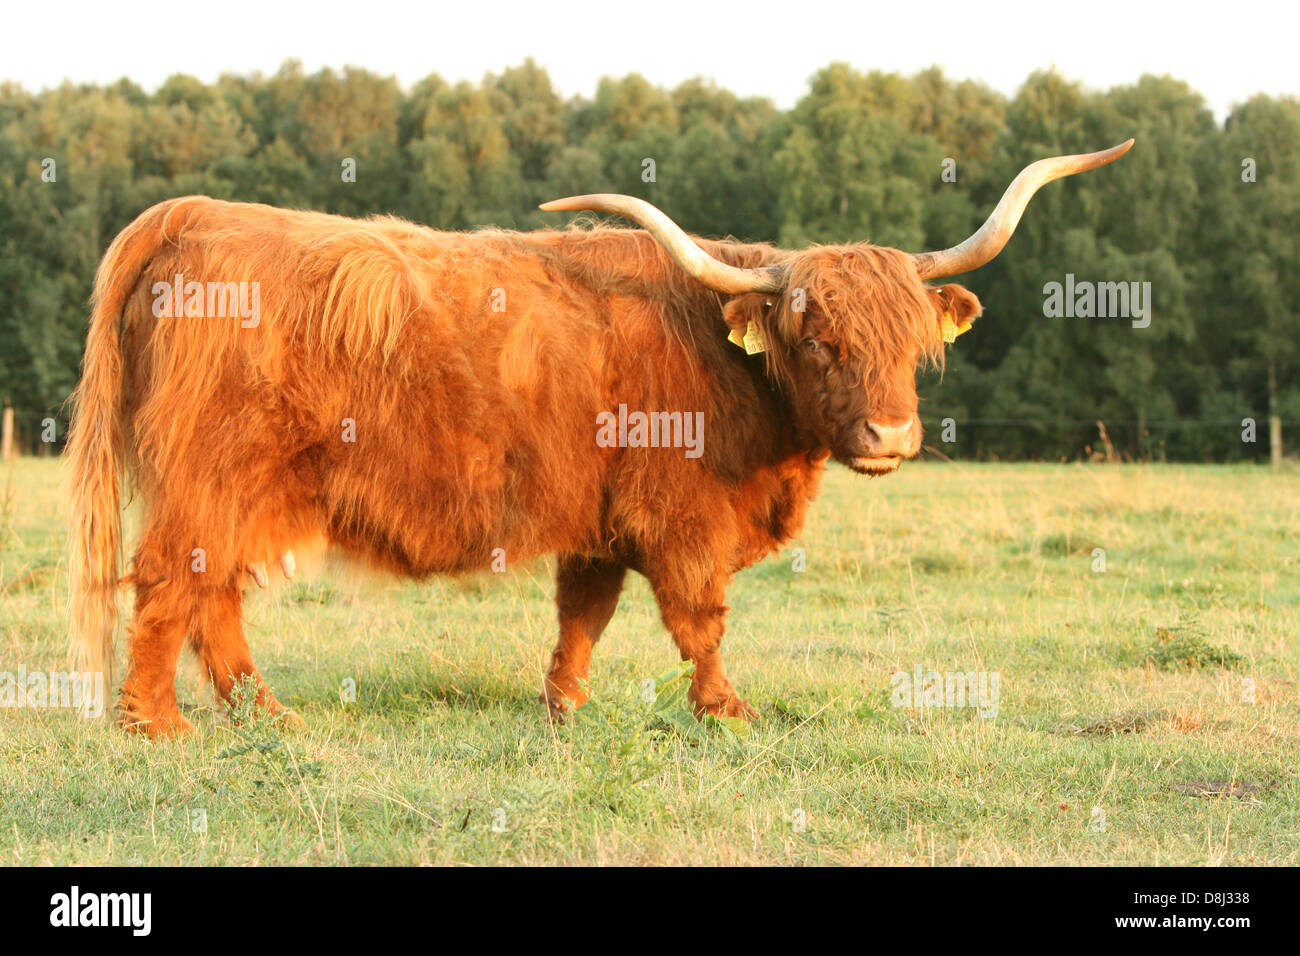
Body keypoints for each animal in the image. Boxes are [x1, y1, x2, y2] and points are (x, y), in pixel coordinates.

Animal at [66, 140, 1133, 736]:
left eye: (913, 344)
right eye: (817, 339)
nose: (891, 432)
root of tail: (194, 214)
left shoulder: (601, 514)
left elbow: (584, 612)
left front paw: (565, 706)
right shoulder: (682, 516)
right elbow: (699, 622)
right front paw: (727, 711)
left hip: (240, 491)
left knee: (213, 595)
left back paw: (269, 717)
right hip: (211, 476)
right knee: (169, 584)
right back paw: (156, 726)